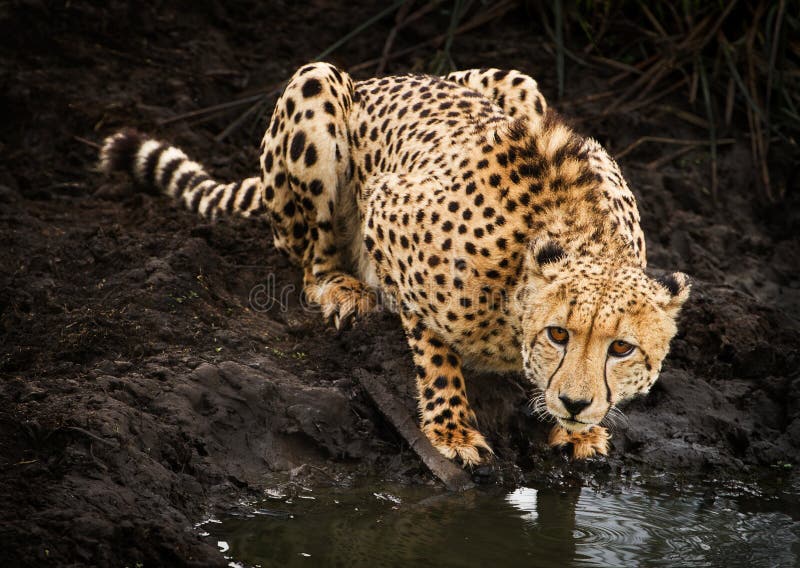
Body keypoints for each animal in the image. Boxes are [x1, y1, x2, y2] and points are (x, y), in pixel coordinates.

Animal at [99, 62, 690, 467]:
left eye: (621, 348)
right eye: (558, 334)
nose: (574, 402)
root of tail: (380, 78)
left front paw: (579, 430)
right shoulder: (387, 209)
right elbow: (433, 343)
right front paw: (451, 430)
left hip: (522, 84)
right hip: (316, 86)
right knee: (312, 260)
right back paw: (340, 288)